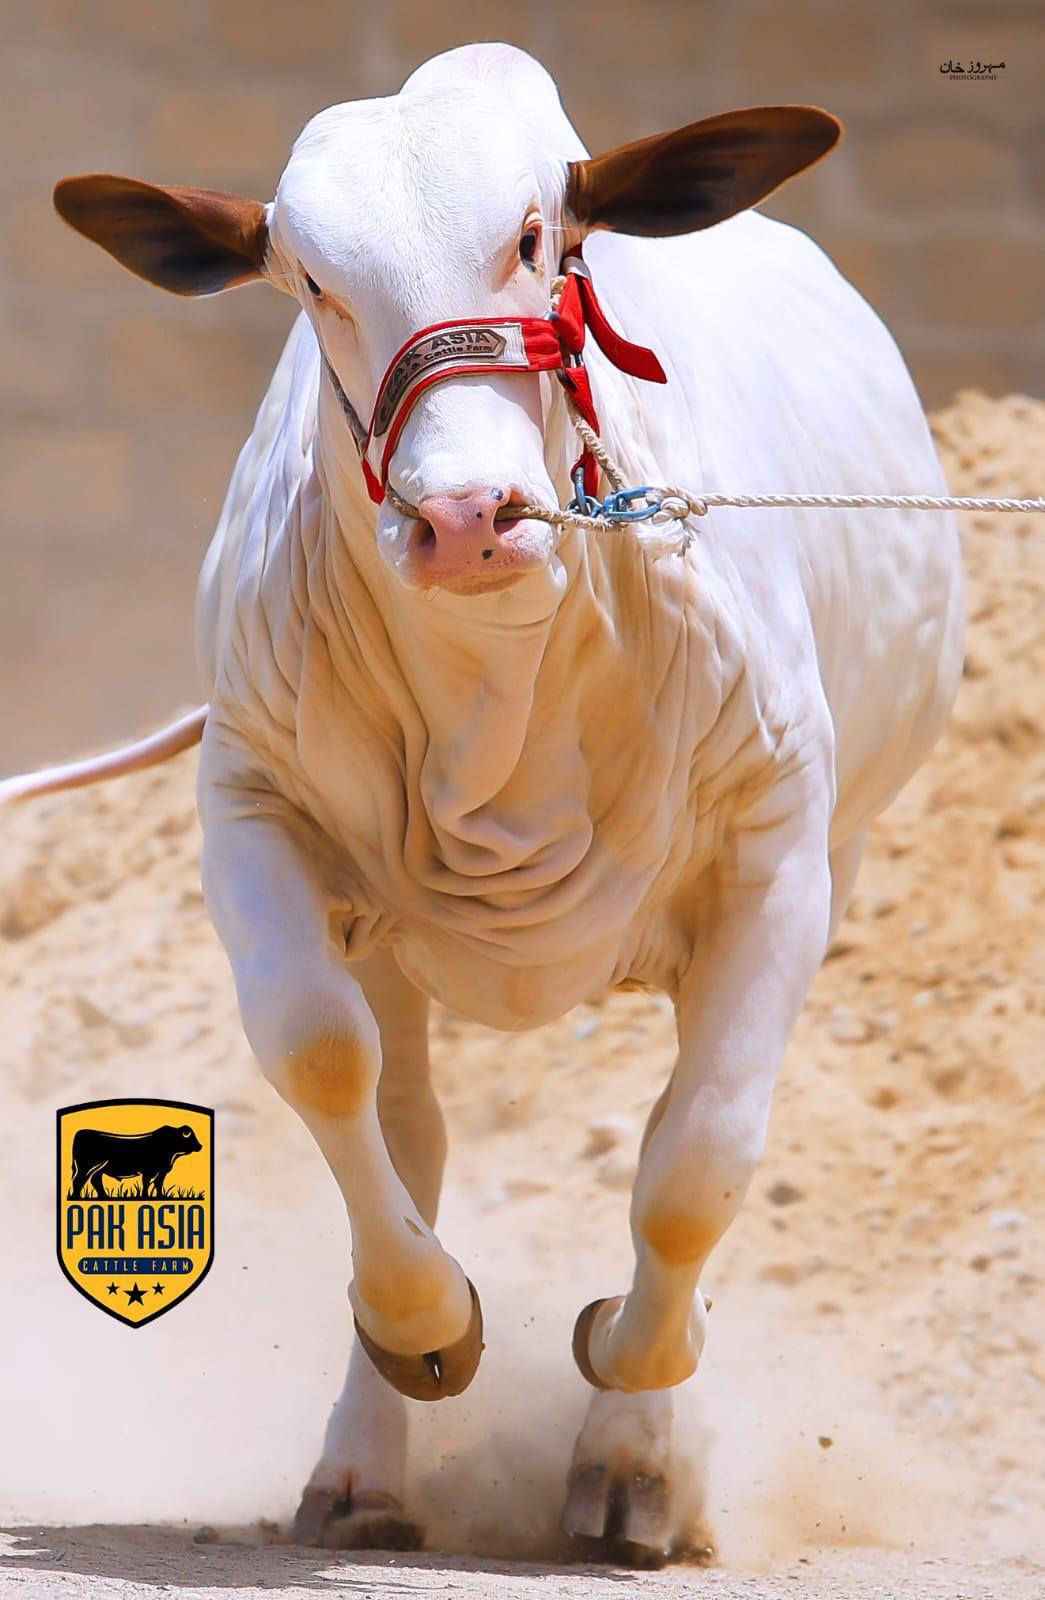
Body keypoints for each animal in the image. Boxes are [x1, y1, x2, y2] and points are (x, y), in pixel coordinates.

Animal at [70, 1124, 202, 1199]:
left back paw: (104, 1197)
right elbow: (146, 1183)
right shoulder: (148, 1171)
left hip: (98, 1169)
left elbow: (158, 1183)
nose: (200, 1146)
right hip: (86, 1167)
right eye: (190, 1137)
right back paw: (75, 1197)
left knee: (95, 1181)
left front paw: (161, 1196)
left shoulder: (162, 1171)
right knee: (78, 1181)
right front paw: (145, 1196)